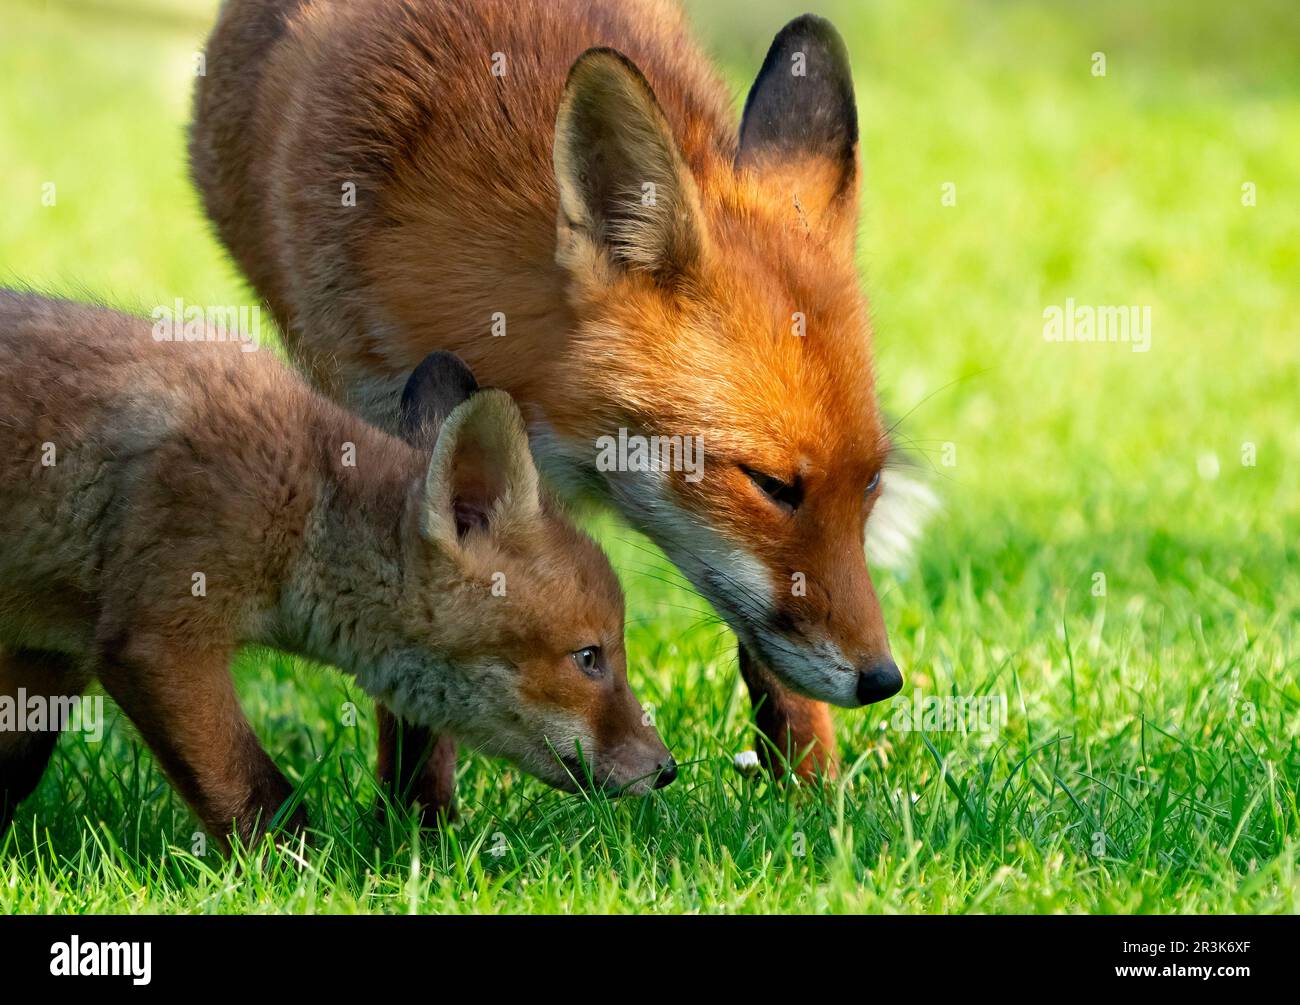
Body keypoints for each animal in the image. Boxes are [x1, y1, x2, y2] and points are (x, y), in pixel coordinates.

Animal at [0, 291, 674, 847]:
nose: (667, 770)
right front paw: (310, 878)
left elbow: (12, 771)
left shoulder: (46, 655)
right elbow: (263, 801)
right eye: (589, 657)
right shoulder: (157, 641)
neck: (304, 503)